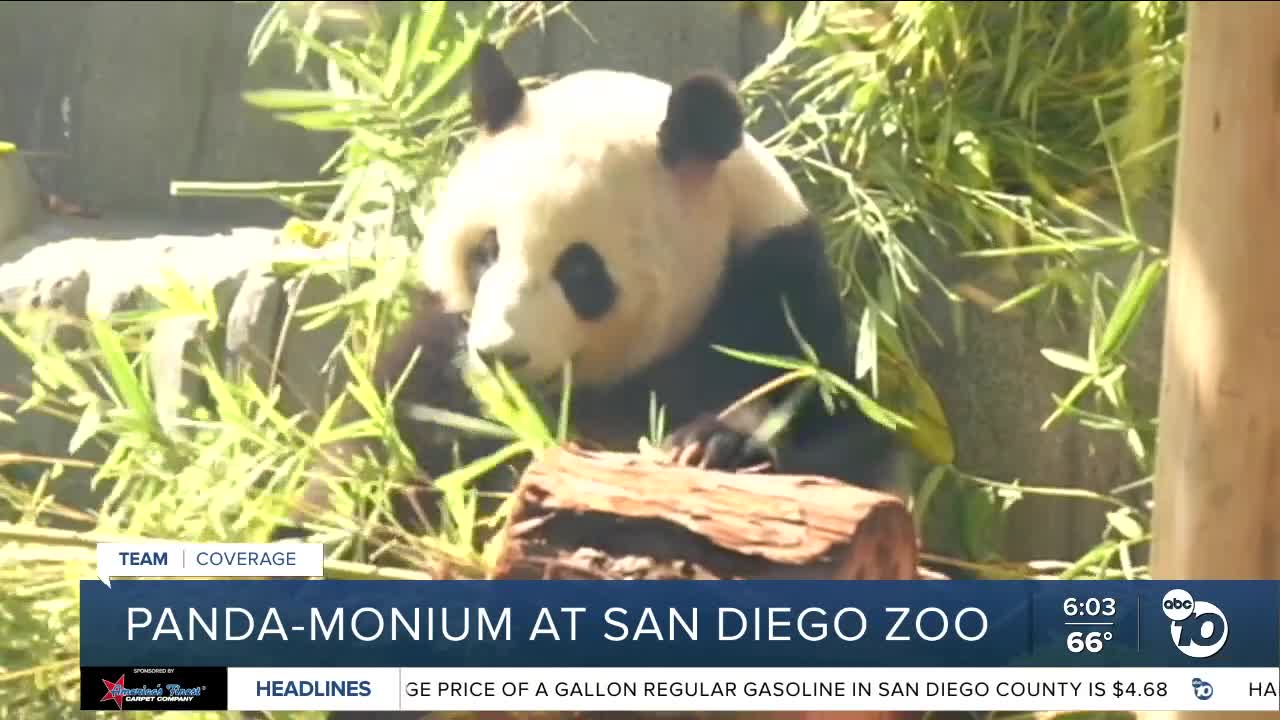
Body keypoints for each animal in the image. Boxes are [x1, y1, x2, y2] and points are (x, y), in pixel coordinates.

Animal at [277, 42, 905, 550]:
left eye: (580, 269)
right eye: (487, 250)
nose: (501, 356)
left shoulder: (775, 296)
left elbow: (838, 440)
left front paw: (712, 446)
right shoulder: (439, 354)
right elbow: (370, 451)